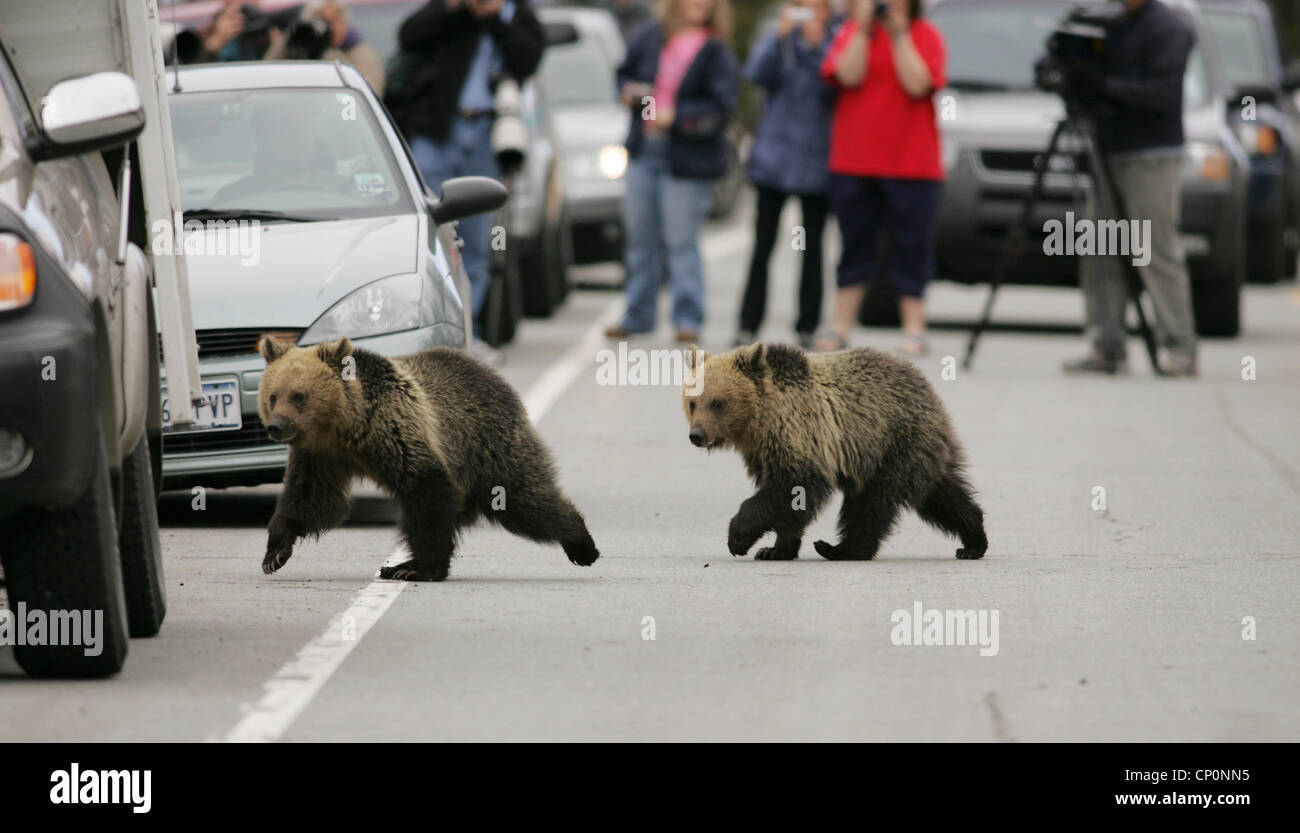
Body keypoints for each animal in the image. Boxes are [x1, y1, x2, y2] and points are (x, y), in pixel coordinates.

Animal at [256, 337, 599, 581]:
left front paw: (421, 568)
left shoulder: (397, 430)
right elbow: (310, 497)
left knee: (522, 499)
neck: (346, 425)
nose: (276, 426)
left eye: (299, 396)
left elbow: (425, 492)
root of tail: (494, 376)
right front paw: (275, 553)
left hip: (489, 443)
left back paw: (582, 544)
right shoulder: (321, 454)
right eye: (273, 395)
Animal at [681, 342, 987, 562]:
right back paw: (973, 541)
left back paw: (842, 549)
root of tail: (927, 388)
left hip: (890, 443)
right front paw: (775, 549)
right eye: (693, 403)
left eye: (718, 402)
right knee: (942, 494)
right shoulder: (763, 452)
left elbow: (795, 486)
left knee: (871, 503)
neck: (757, 420)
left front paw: (738, 538)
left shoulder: (798, 431)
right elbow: (789, 500)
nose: (697, 435)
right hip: (915, 451)